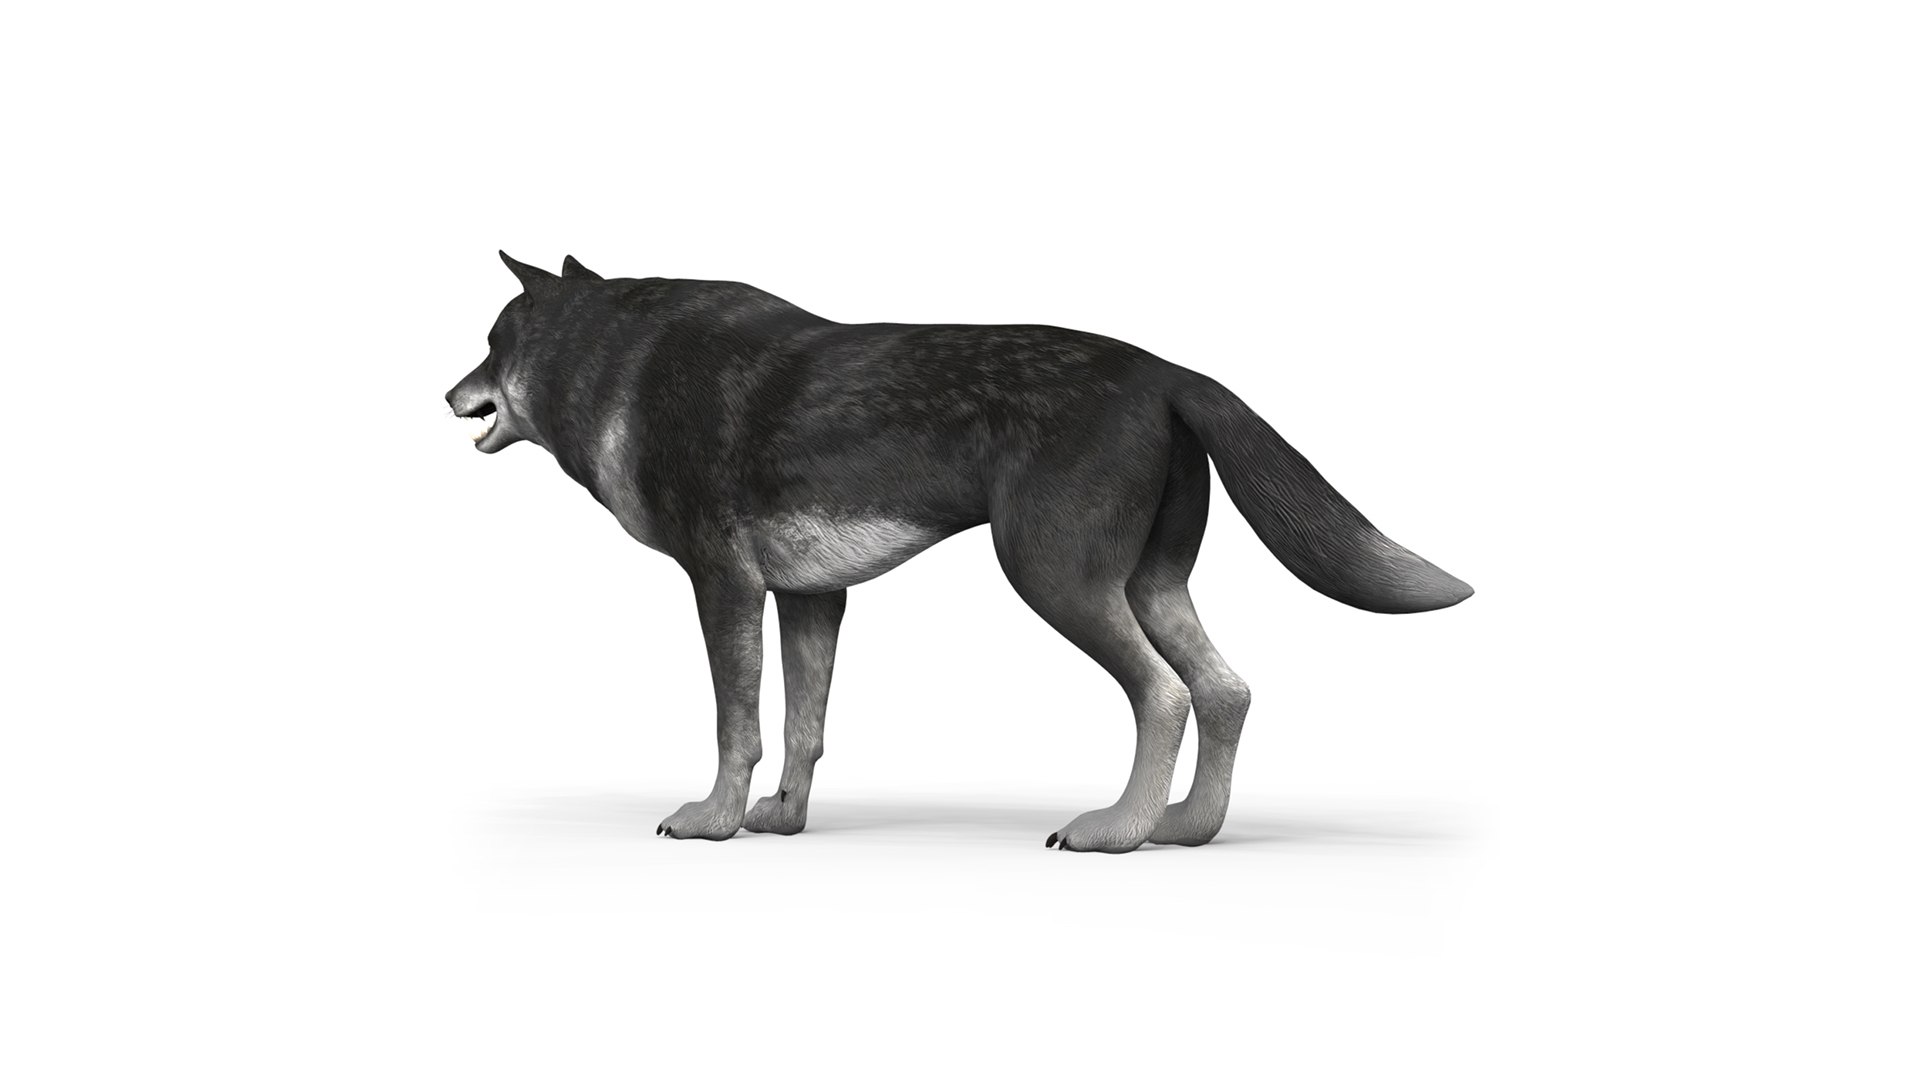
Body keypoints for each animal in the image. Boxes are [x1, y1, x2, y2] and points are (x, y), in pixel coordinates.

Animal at [446, 252, 1472, 853]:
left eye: (493, 343)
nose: (449, 395)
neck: (620, 362)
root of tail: (1172, 374)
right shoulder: (812, 598)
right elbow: (805, 726)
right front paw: (783, 820)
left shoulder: (722, 585)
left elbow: (738, 725)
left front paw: (713, 822)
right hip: (1145, 584)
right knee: (1226, 689)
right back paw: (1187, 826)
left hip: (1054, 579)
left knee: (1166, 694)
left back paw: (1116, 830)